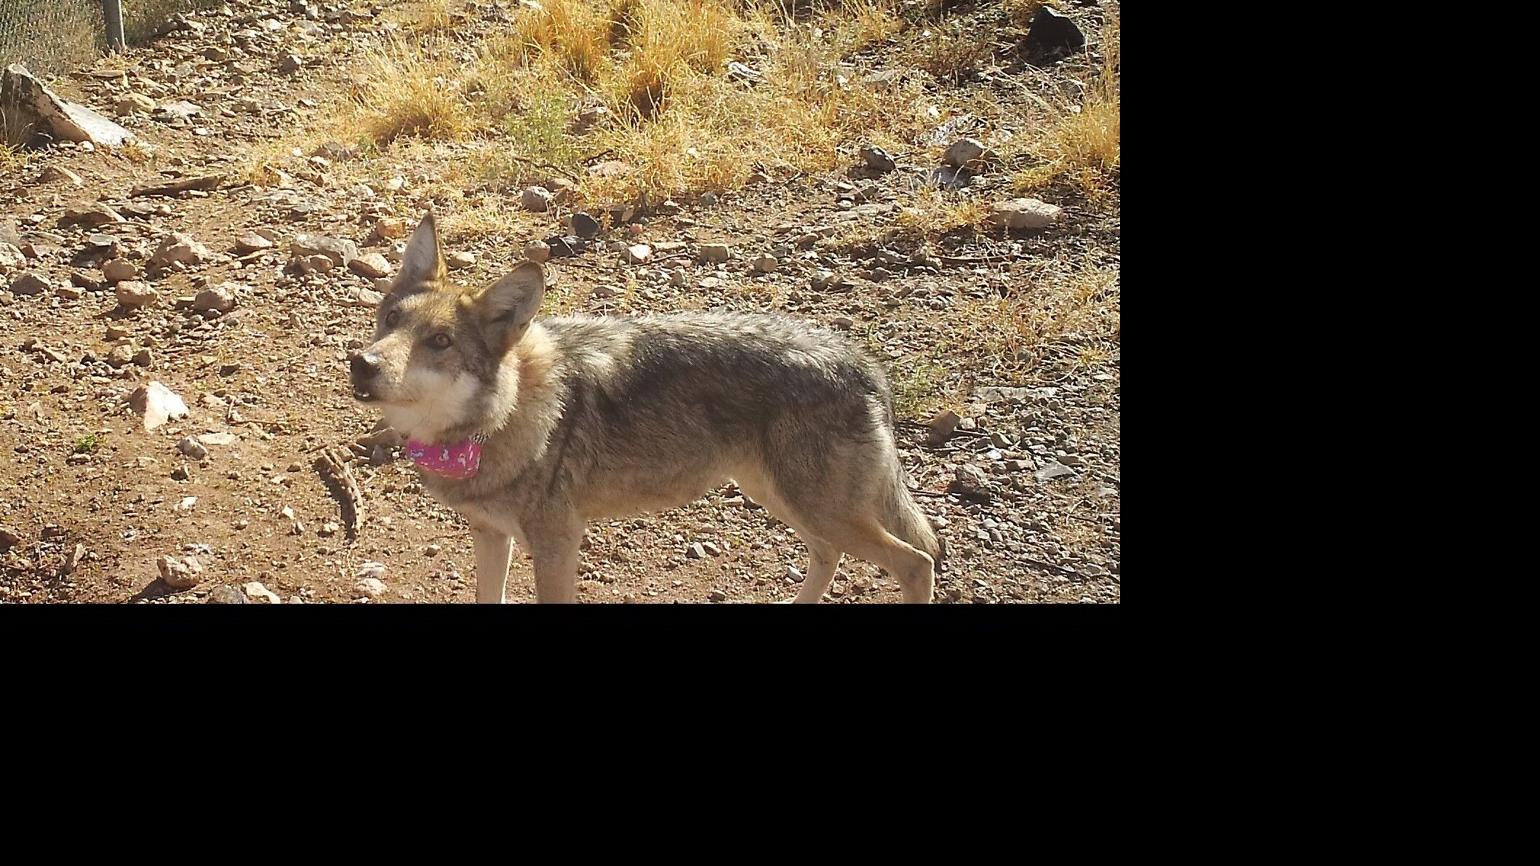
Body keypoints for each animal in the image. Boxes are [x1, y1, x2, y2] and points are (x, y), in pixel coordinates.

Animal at [348, 213, 942, 603]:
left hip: (816, 506)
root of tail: (862, 362)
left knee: (917, 562)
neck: (500, 418)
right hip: (783, 497)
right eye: (391, 321)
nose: (362, 363)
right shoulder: (491, 535)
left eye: (441, 342)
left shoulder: (557, 543)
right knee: (830, 554)